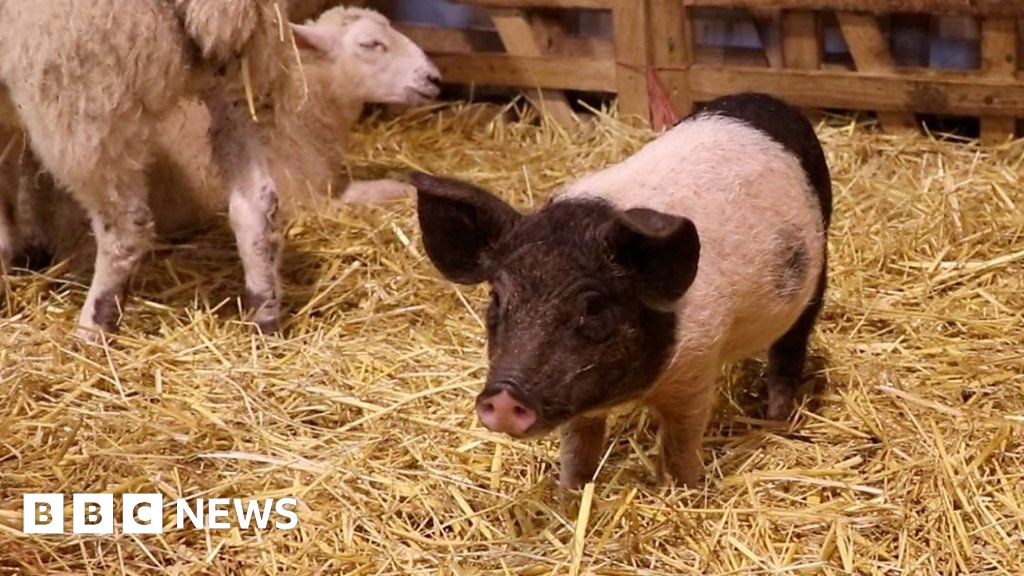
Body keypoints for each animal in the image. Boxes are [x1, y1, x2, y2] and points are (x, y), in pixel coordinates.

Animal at [0, 3, 439, 336]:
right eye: (371, 44)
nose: (435, 79)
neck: (313, 108)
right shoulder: (309, 194)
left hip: (89, 81)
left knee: (133, 227)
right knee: (246, 210)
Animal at [411, 92, 831, 488]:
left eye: (593, 307)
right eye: (497, 298)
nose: (502, 396)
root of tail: (770, 101)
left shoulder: (697, 367)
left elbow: (681, 444)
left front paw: (683, 491)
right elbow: (578, 448)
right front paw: (570, 494)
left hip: (816, 268)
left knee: (790, 346)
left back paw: (776, 421)